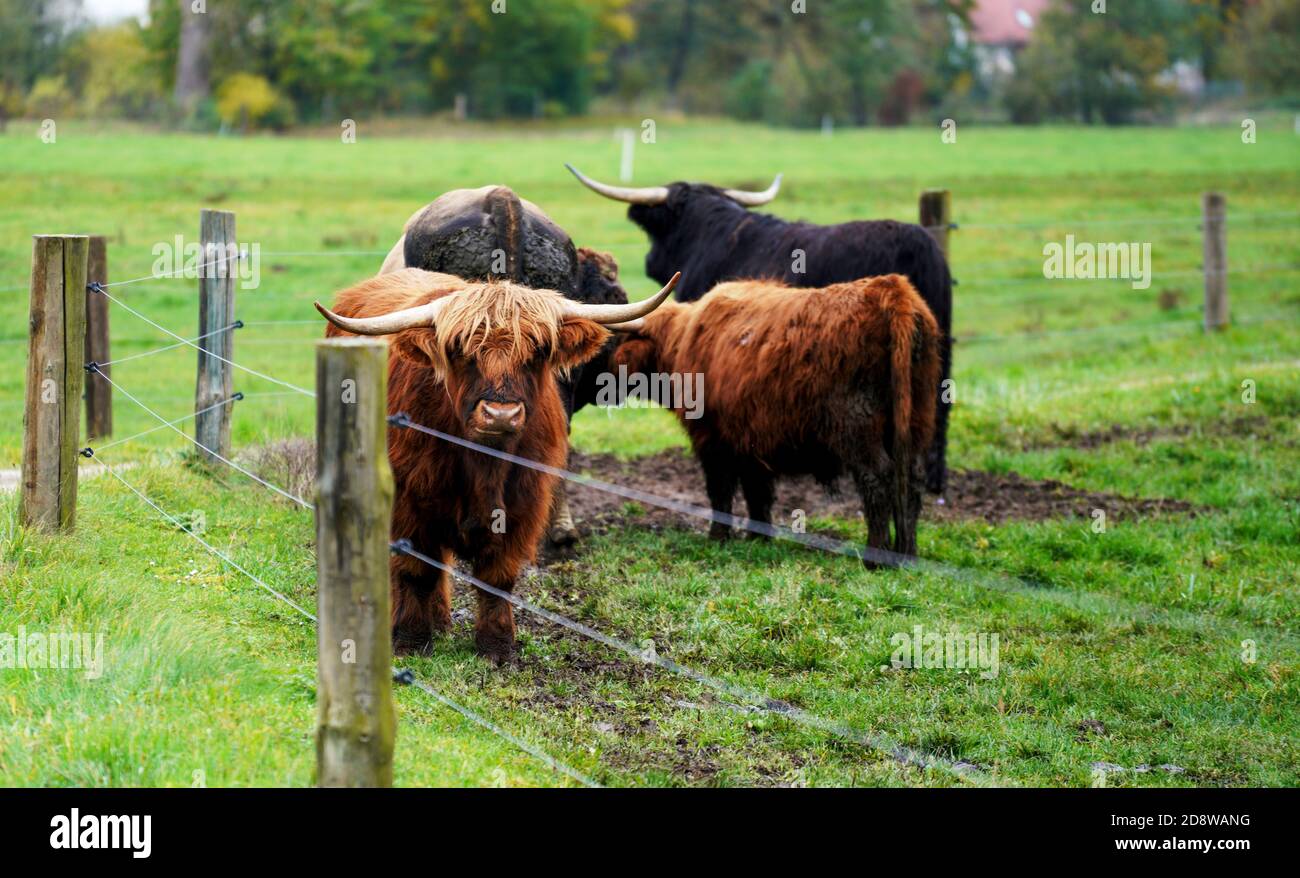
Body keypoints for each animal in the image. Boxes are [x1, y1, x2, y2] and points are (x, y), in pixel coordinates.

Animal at [316, 268, 679, 661]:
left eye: (539, 351)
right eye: (460, 350)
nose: (500, 414)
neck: (483, 465)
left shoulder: (523, 505)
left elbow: (497, 578)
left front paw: (497, 646)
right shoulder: (408, 501)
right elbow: (415, 569)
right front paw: (410, 640)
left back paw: (442, 620)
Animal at [608, 274, 940, 561]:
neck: (683, 340)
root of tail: (891, 290)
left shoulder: (711, 439)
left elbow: (720, 491)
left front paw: (718, 536)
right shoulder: (750, 439)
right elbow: (758, 493)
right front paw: (758, 537)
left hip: (857, 426)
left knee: (878, 476)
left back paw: (876, 557)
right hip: (916, 420)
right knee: (912, 478)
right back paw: (908, 554)